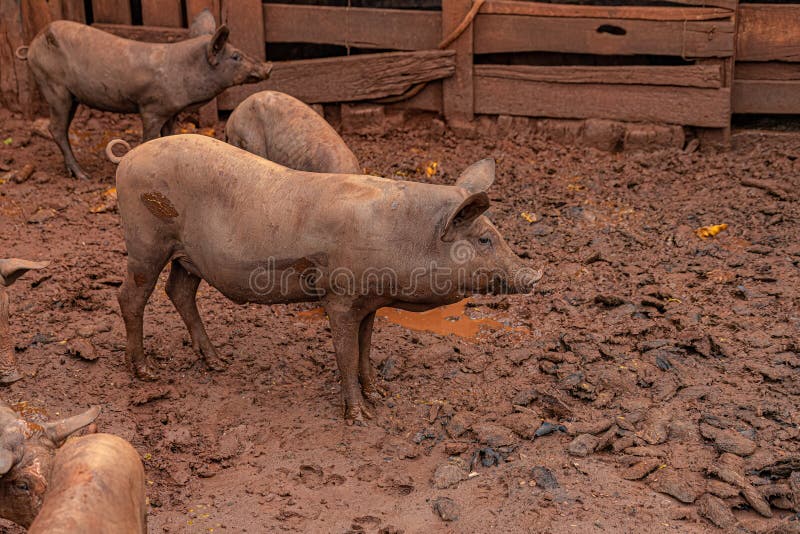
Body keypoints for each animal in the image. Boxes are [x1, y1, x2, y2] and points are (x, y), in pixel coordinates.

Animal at [18, 13, 272, 180]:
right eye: (236, 56)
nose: (269, 66)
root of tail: (32, 45)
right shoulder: (151, 108)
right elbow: (149, 137)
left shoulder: (171, 111)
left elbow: (169, 134)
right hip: (54, 86)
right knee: (56, 128)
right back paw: (83, 176)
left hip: (70, 96)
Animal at [113, 134, 541, 423]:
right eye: (484, 239)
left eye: (497, 233)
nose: (535, 275)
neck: (406, 235)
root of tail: (128, 156)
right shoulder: (340, 296)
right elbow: (345, 353)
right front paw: (359, 417)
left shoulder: (370, 302)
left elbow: (365, 349)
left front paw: (381, 393)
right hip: (146, 241)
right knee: (131, 296)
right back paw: (145, 372)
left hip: (188, 257)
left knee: (179, 291)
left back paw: (218, 363)